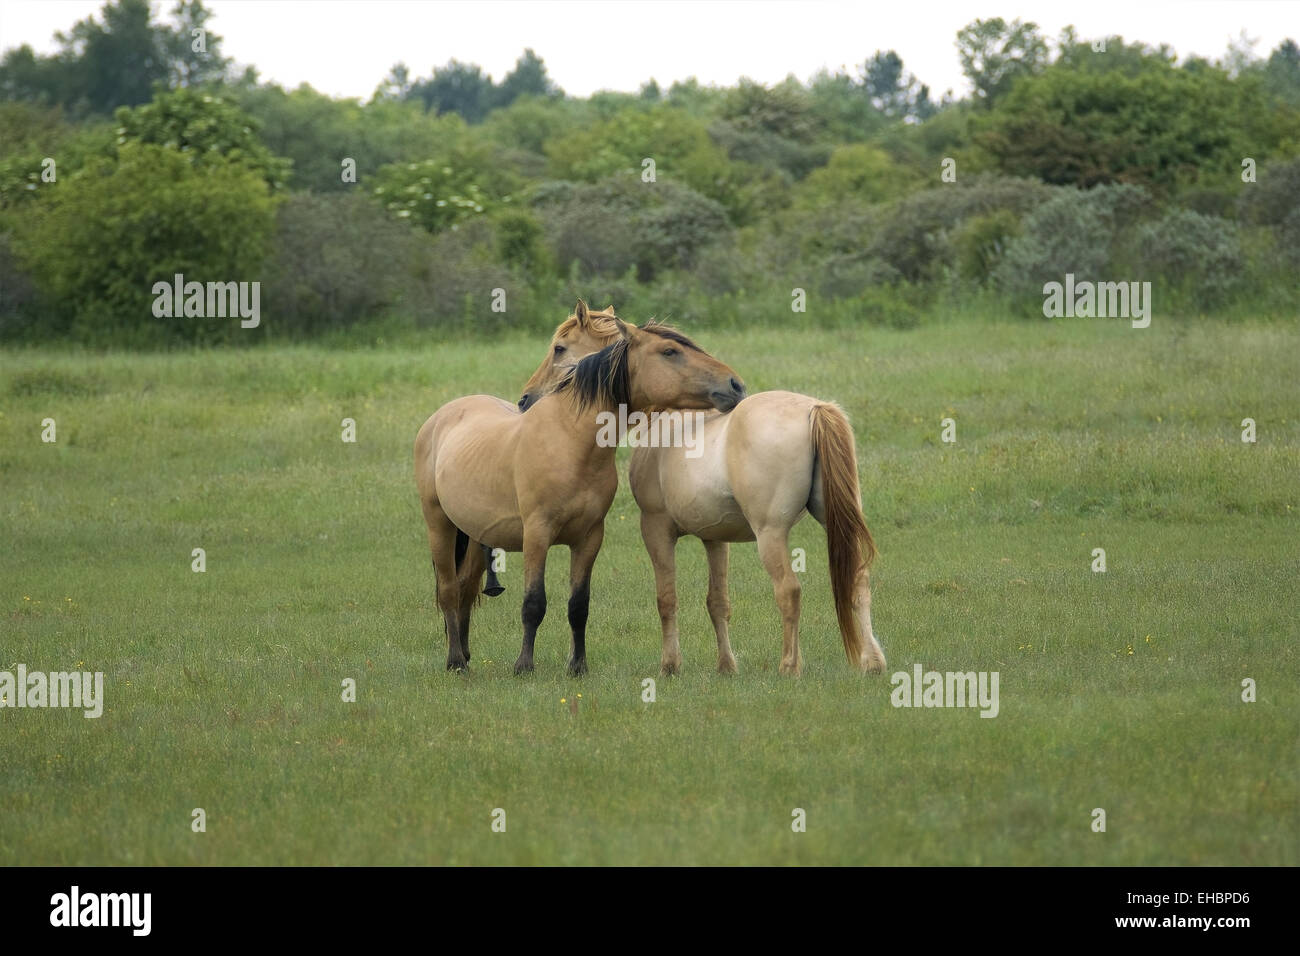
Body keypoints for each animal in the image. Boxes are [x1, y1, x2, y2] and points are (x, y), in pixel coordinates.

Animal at [414, 301, 745, 676]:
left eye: (560, 348)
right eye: (670, 351)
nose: (735, 384)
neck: (570, 440)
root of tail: (441, 417)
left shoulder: (589, 538)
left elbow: (578, 605)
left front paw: (578, 666)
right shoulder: (537, 534)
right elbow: (534, 603)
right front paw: (524, 665)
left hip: (473, 534)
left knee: (466, 589)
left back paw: (465, 655)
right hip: (439, 526)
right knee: (448, 591)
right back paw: (456, 661)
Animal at [518, 330, 886, 678]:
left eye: (560, 347)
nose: (526, 399)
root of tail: (814, 409)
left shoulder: (656, 528)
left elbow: (666, 598)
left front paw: (670, 665)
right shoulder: (715, 538)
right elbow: (718, 601)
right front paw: (726, 666)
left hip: (771, 534)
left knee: (789, 591)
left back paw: (790, 666)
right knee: (859, 580)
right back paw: (872, 662)